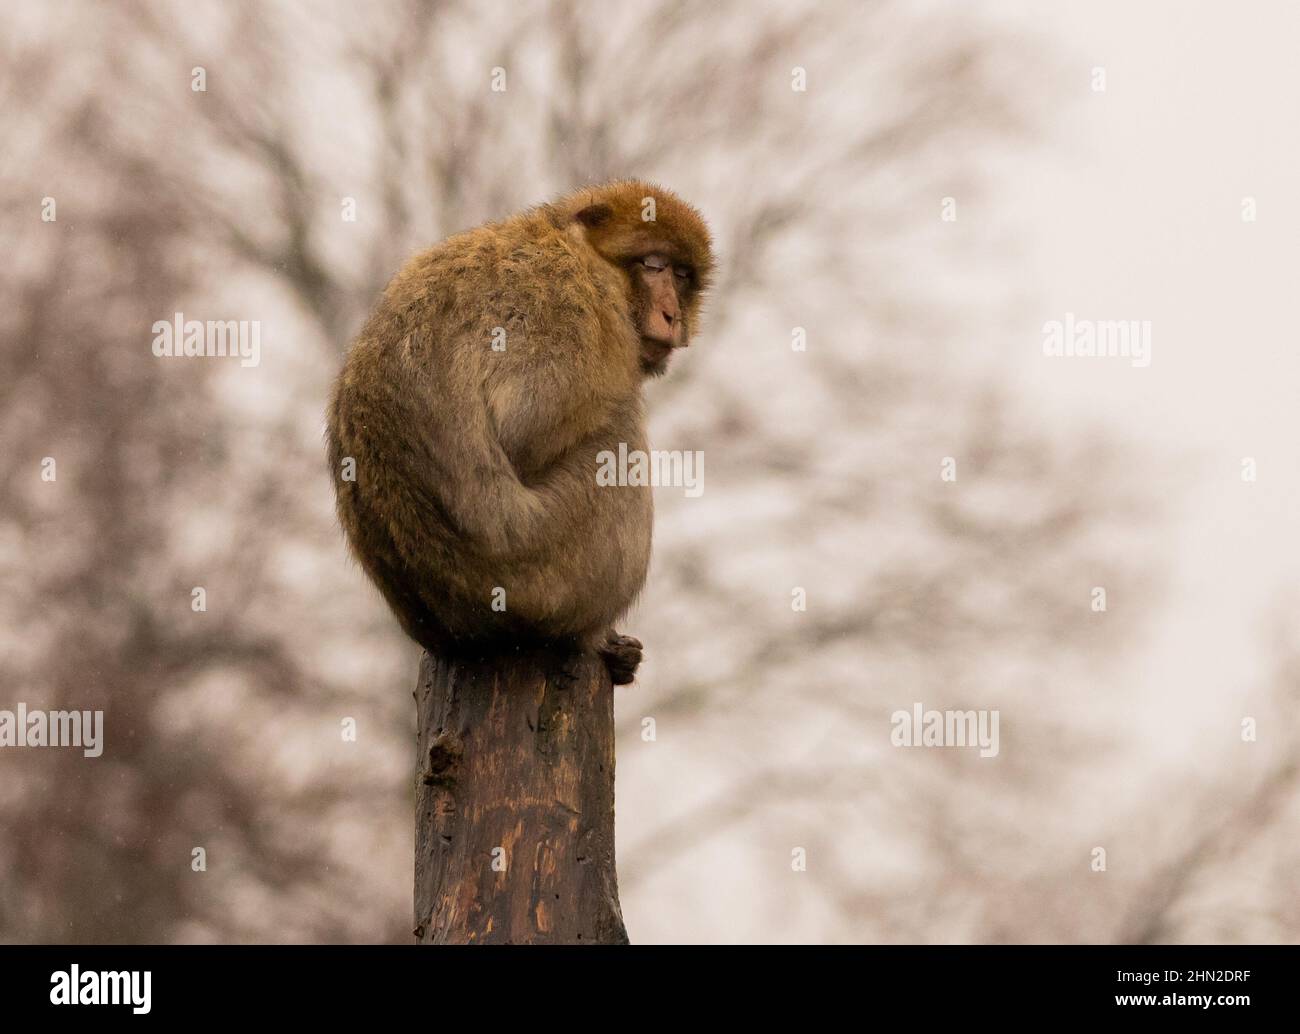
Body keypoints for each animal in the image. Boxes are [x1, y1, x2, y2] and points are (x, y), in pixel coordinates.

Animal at [326, 180, 714, 684]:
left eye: (682, 275)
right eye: (653, 266)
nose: (672, 315)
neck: (571, 242)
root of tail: (457, 632)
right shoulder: (571, 303)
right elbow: (523, 430)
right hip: (547, 572)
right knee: (618, 424)